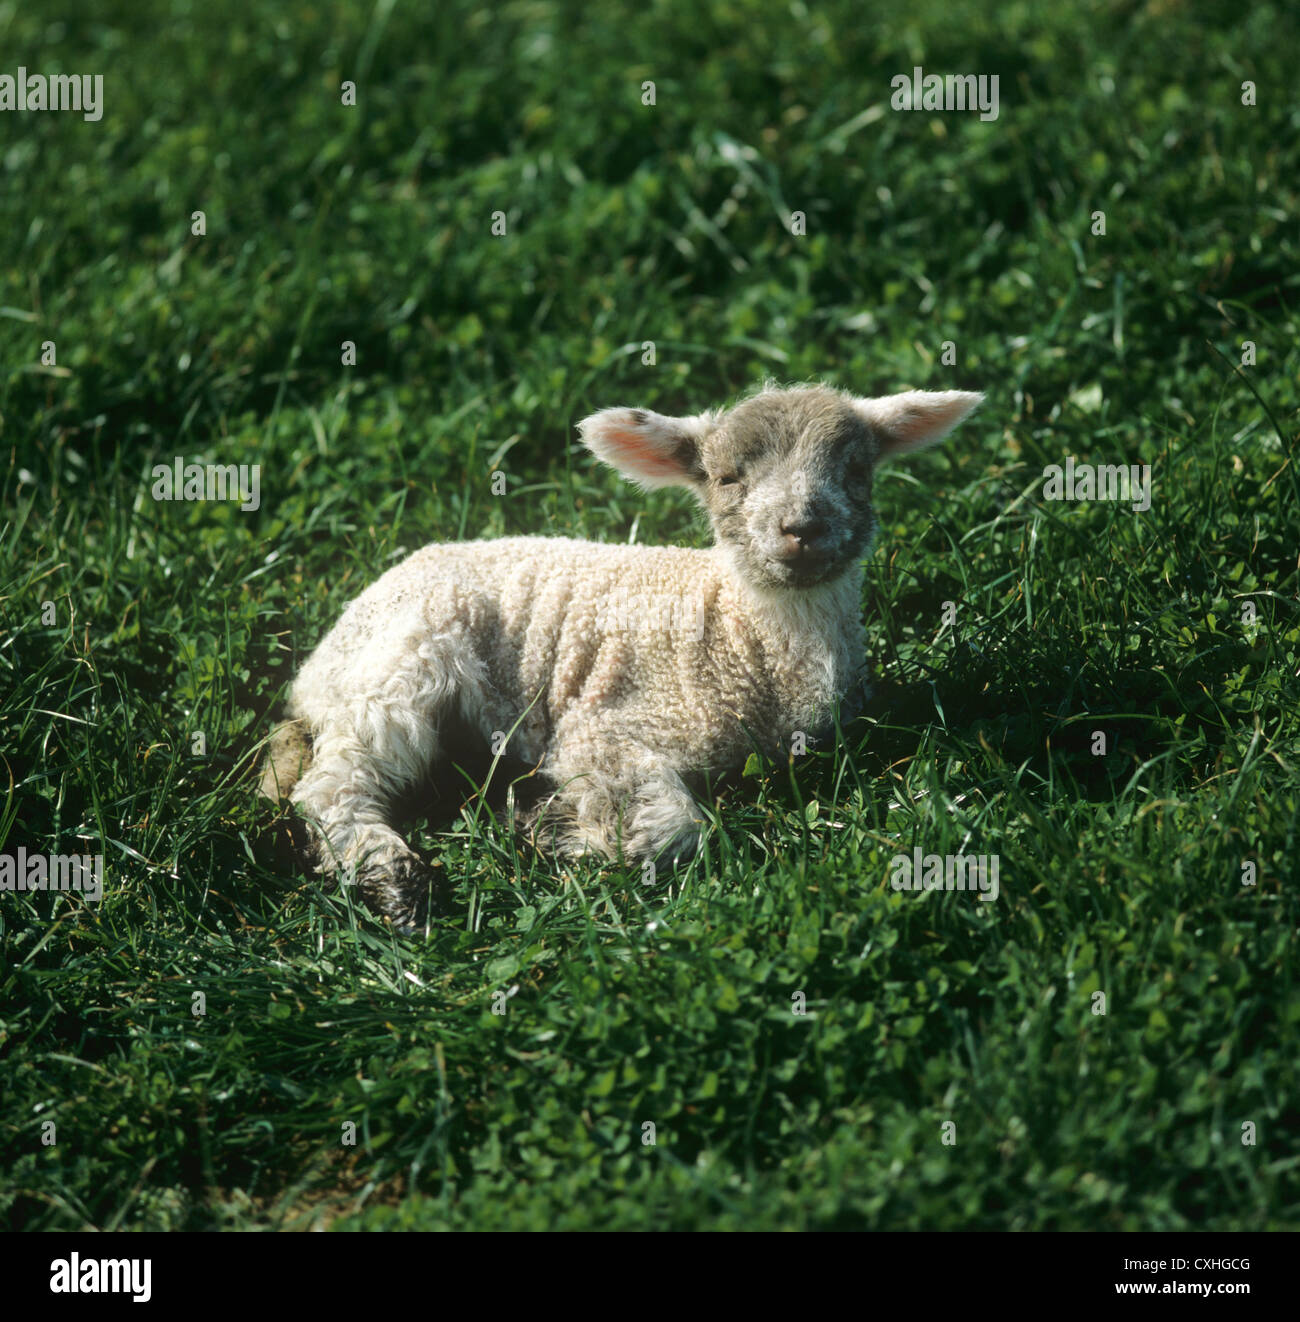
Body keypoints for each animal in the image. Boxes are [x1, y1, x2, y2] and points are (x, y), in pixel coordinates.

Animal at [260, 383, 983, 928]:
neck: (738, 636)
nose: (802, 529)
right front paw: (558, 832)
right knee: (332, 787)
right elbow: (678, 824)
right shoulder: (605, 725)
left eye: (857, 471)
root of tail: (319, 664)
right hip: (397, 671)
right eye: (726, 477)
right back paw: (394, 879)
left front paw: (549, 823)